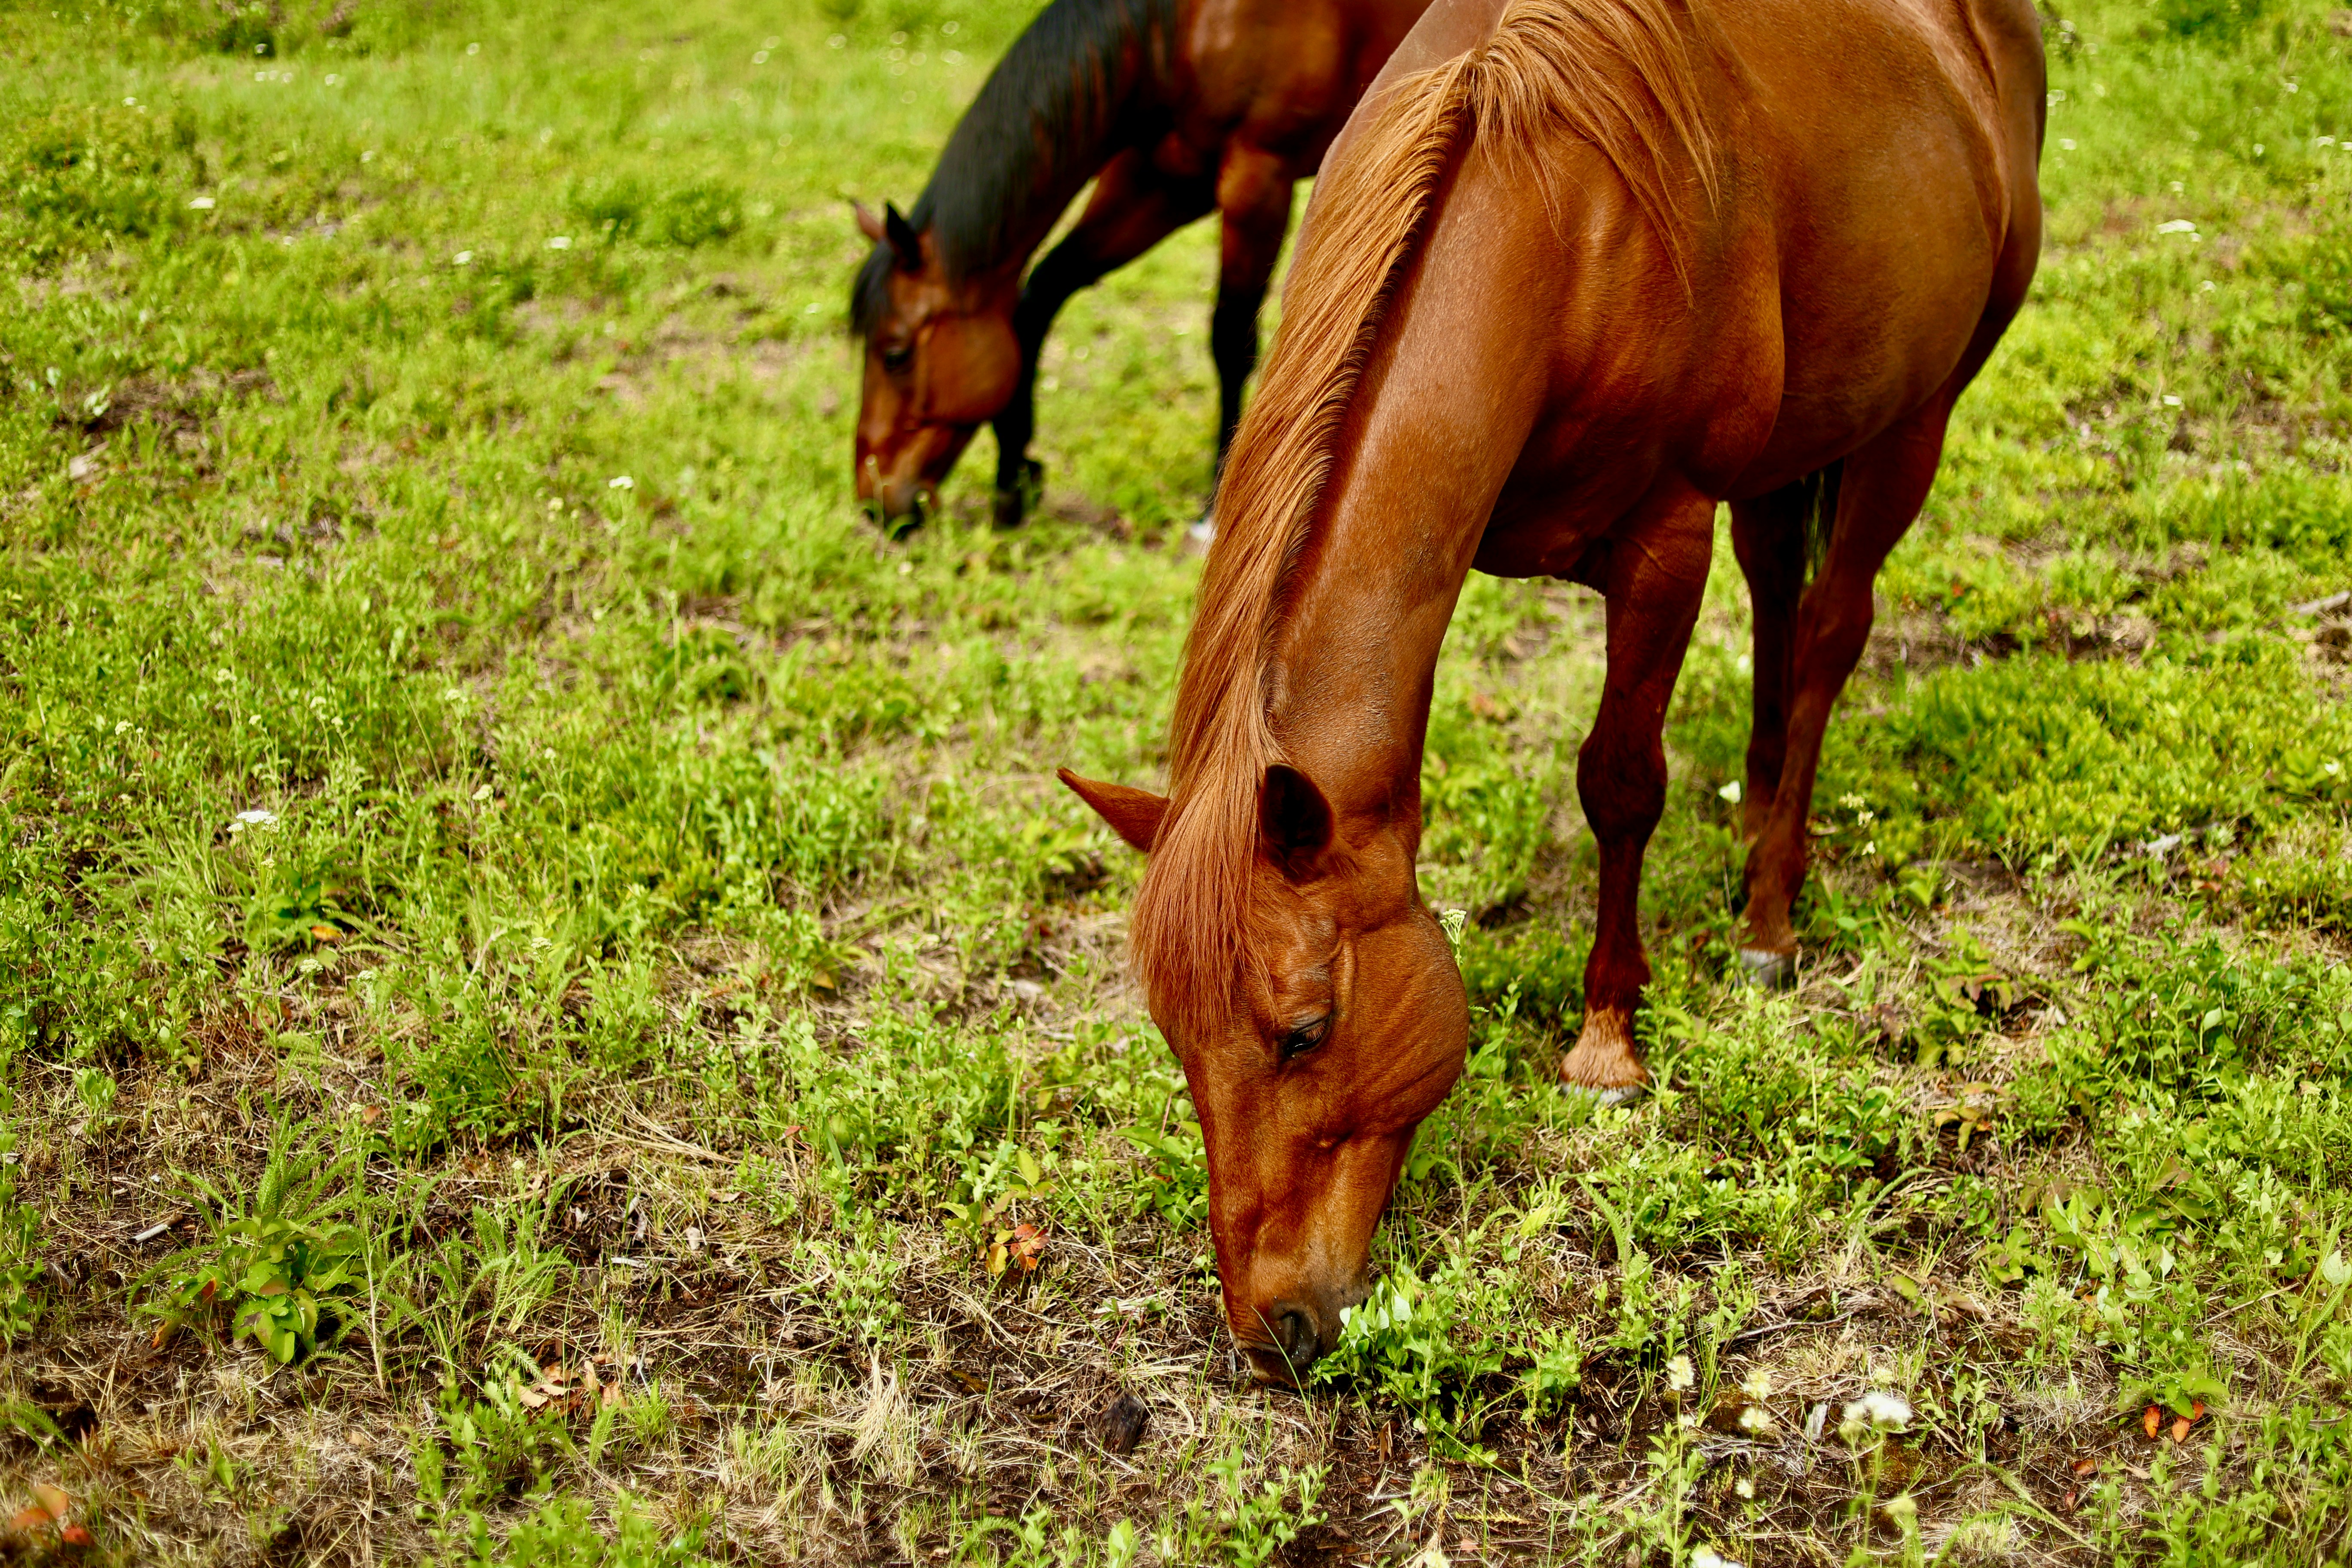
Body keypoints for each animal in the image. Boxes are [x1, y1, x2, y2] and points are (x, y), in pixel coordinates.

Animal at [849, 0, 1433, 530]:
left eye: (896, 355)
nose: (875, 501)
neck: (1182, 28)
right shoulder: (1161, 179)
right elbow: (1040, 296)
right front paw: (1014, 480)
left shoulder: (1258, 180)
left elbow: (1231, 341)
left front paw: (1214, 507)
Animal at [1060, 0, 2043, 1381]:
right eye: (1172, 1040)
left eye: (1304, 1032)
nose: (1272, 1332)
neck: (1556, 223)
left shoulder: (1663, 541)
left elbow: (1619, 782)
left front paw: (1605, 1043)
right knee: (1781, 589)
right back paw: (1755, 826)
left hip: (1916, 419)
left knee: (1830, 632)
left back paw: (1769, 915)